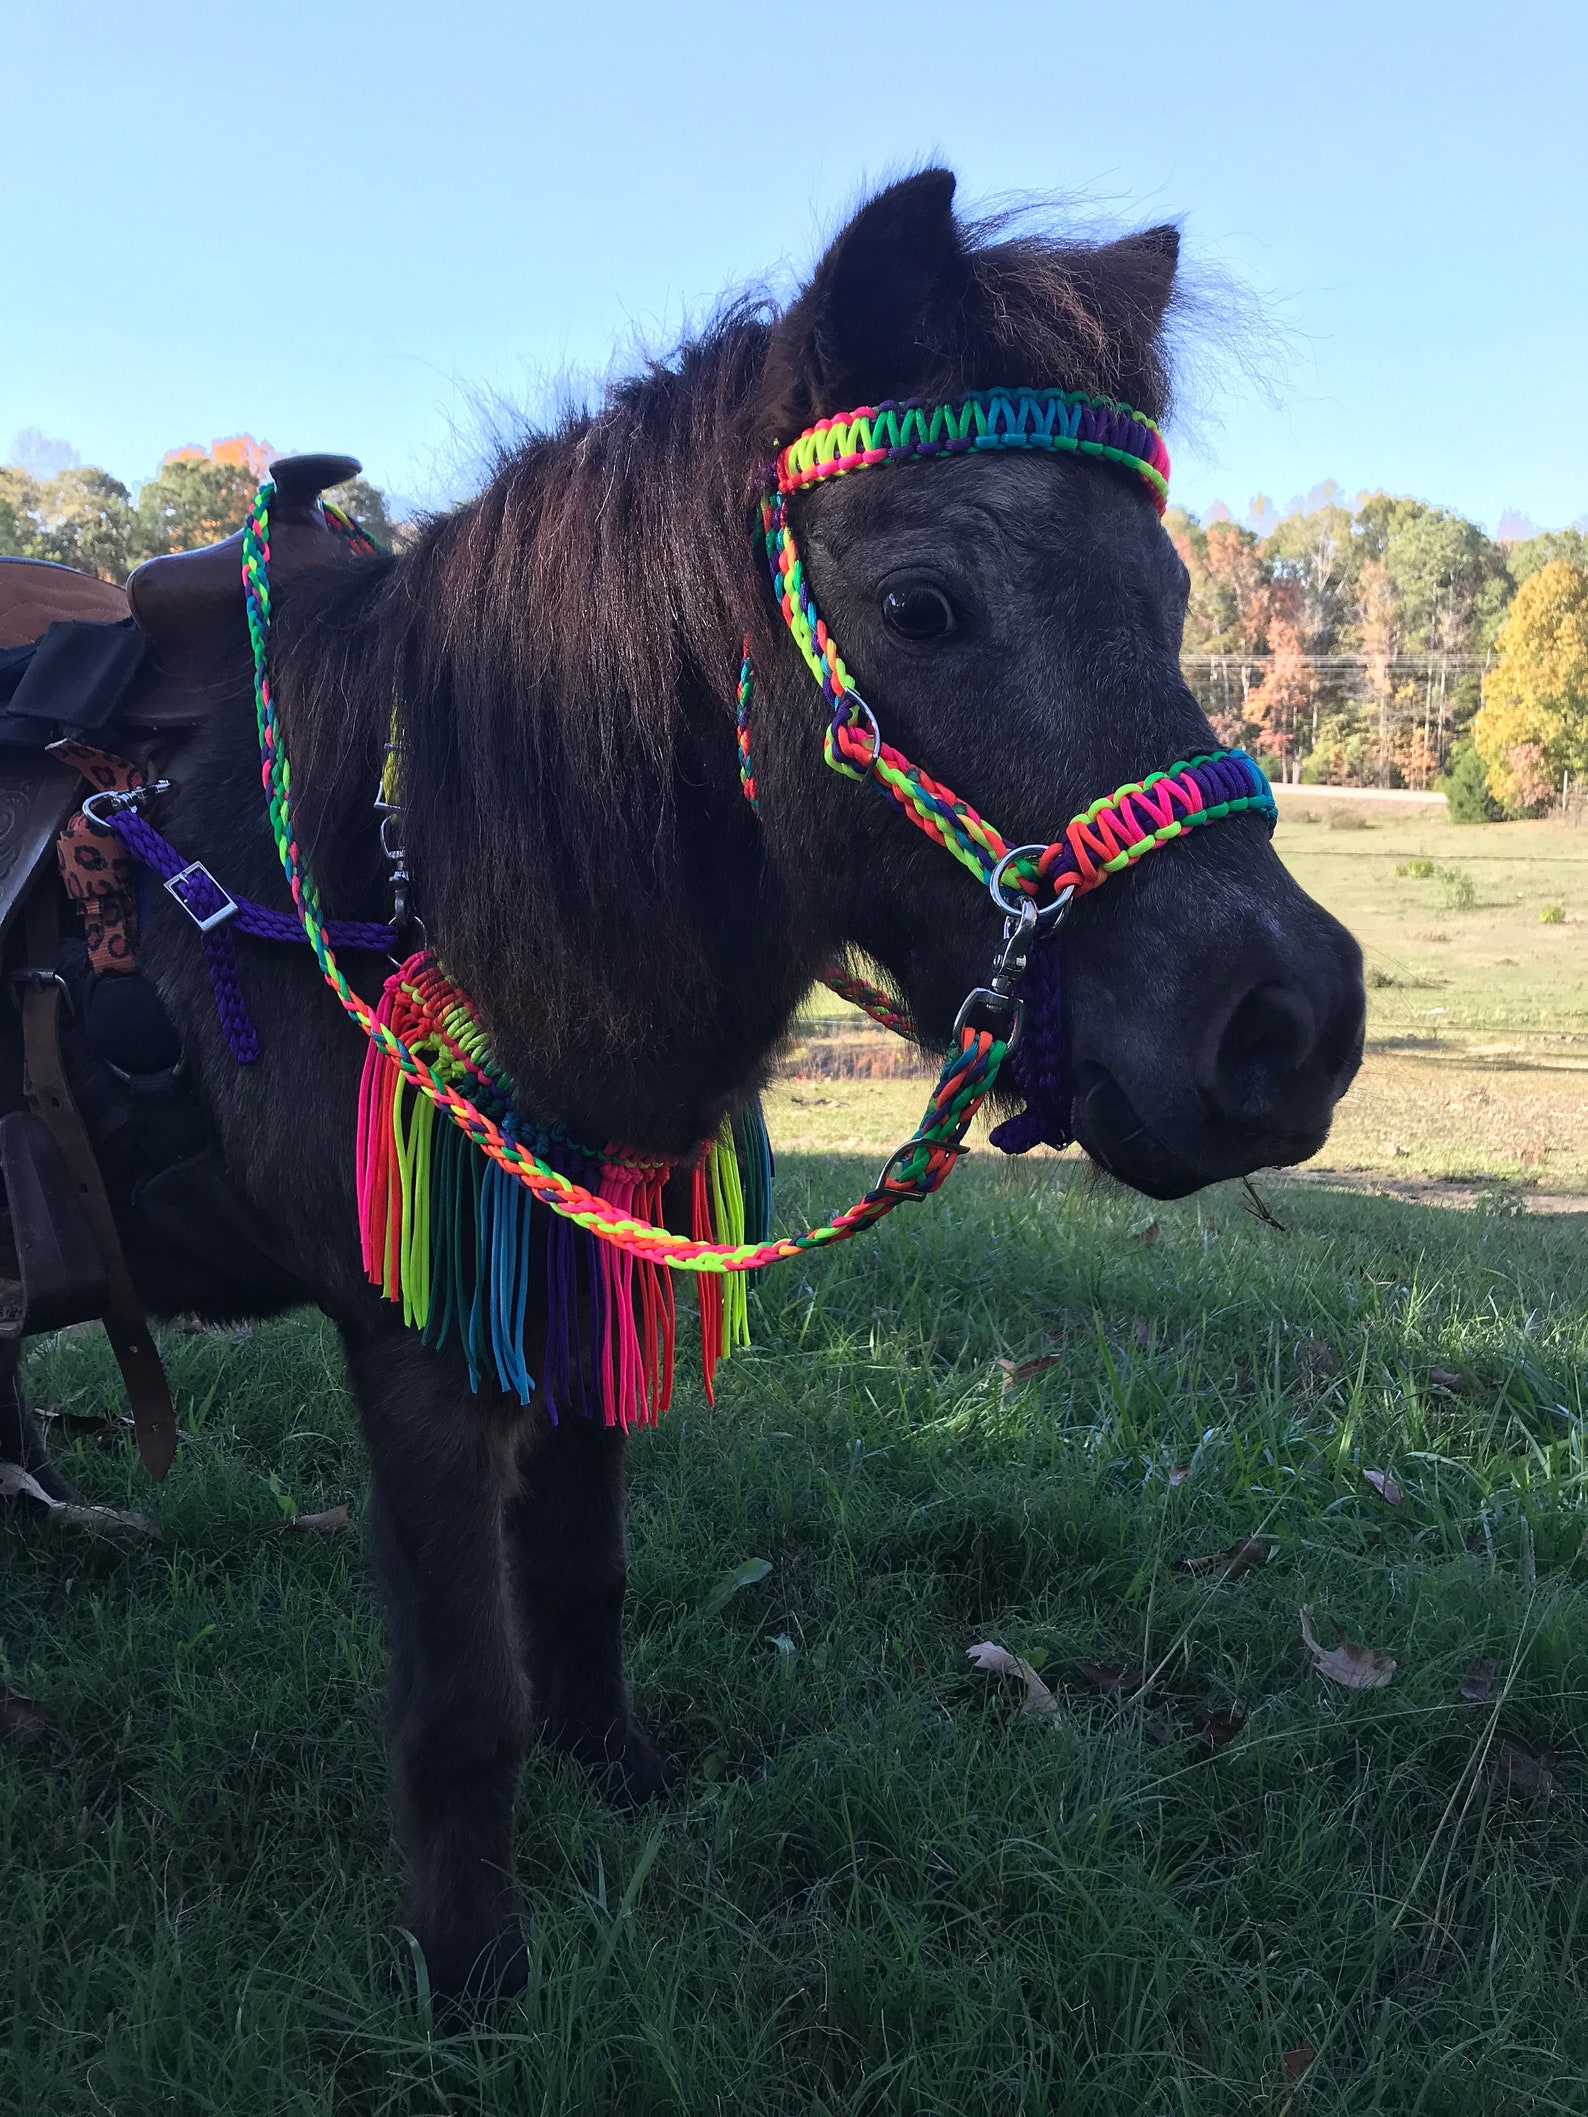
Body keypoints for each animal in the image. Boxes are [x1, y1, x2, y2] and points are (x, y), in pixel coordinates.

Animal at [0, 168, 1363, 1997]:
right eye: (923, 604)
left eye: (1167, 604)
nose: (1288, 1025)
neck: (400, 854)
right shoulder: (420, 1334)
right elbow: (464, 1695)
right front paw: (472, 1974)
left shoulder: (574, 1258)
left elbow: (583, 1571)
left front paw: (617, 1776)